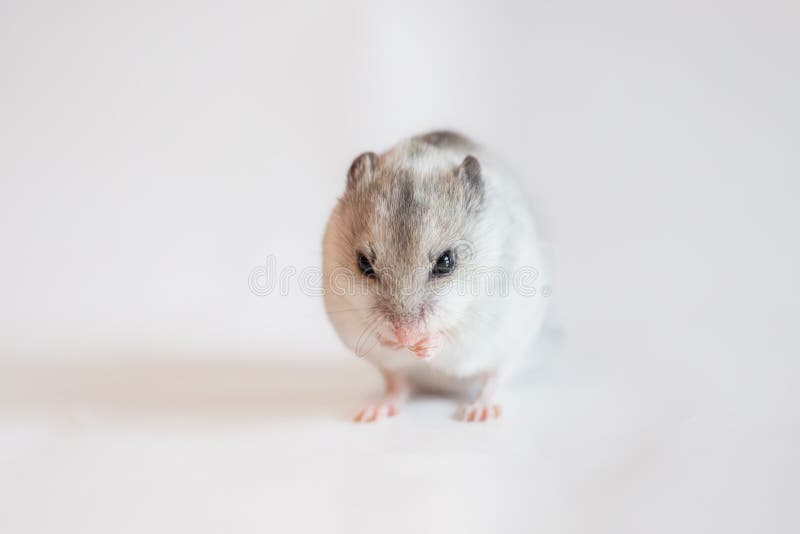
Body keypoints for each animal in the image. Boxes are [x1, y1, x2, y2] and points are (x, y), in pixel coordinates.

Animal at [322, 131, 552, 422]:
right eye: (363, 263)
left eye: (446, 262)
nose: (405, 337)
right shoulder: (348, 317)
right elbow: (374, 333)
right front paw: (393, 342)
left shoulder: (478, 322)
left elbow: (450, 335)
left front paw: (422, 346)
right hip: (388, 368)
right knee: (398, 384)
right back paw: (373, 412)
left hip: (509, 350)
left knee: (493, 380)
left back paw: (478, 412)